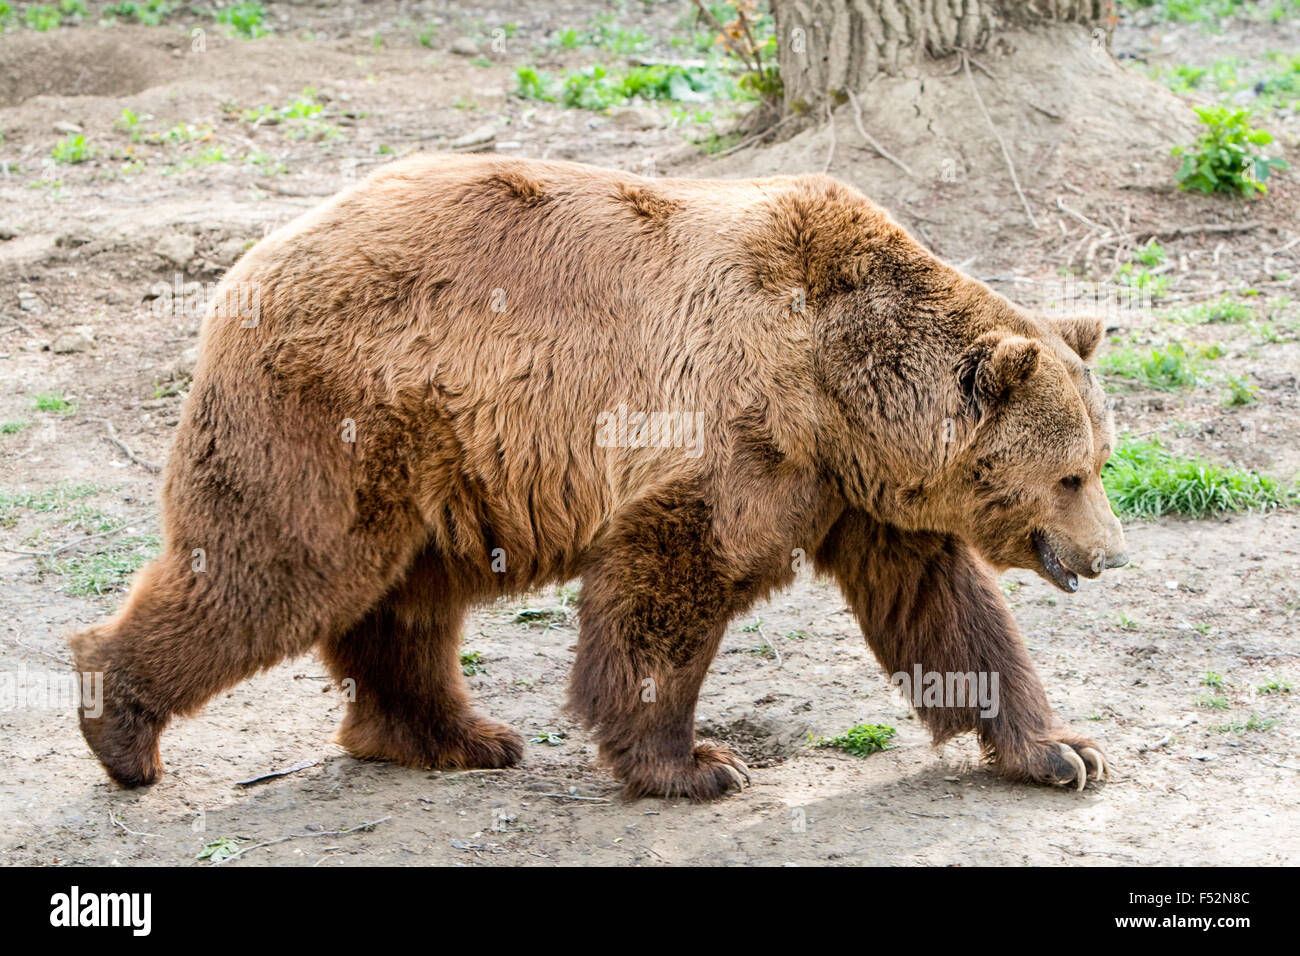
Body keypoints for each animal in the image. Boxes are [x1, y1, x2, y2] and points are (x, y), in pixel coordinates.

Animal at [70, 153, 1128, 800]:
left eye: (1100, 461)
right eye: (1073, 476)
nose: (1111, 554)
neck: (844, 386)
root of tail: (248, 266)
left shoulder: (858, 489)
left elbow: (944, 608)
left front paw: (1062, 750)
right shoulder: (734, 432)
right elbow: (671, 586)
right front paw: (696, 762)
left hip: (437, 462)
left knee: (404, 604)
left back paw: (454, 736)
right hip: (338, 415)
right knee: (274, 570)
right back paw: (120, 725)